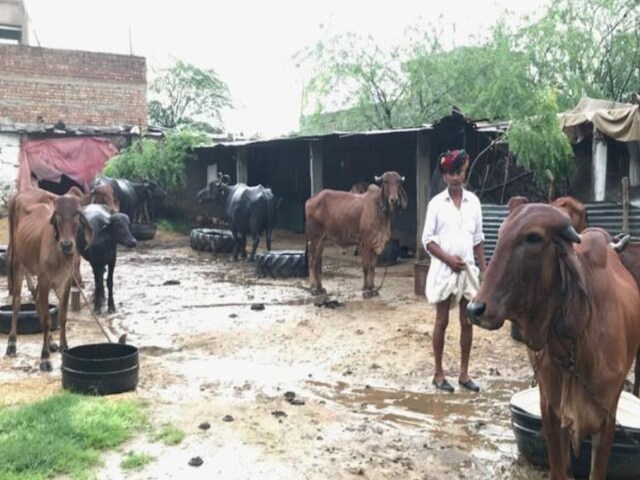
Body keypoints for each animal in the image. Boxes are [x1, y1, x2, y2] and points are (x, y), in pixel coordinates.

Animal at [7, 188, 93, 371]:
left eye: (77, 214)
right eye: (57, 214)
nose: (67, 244)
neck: (61, 255)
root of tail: (21, 193)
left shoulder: (66, 282)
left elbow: (62, 317)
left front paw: (63, 347)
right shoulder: (45, 280)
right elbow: (47, 320)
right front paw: (44, 357)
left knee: (37, 301)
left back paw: (51, 343)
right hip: (17, 262)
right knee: (17, 302)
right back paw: (12, 342)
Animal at [467, 203, 640, 479]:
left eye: (533, 237)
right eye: (501, 232)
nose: (475, 309)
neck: (575, 350)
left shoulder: (607, 416)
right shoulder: (549, 410)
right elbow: (558, 468)